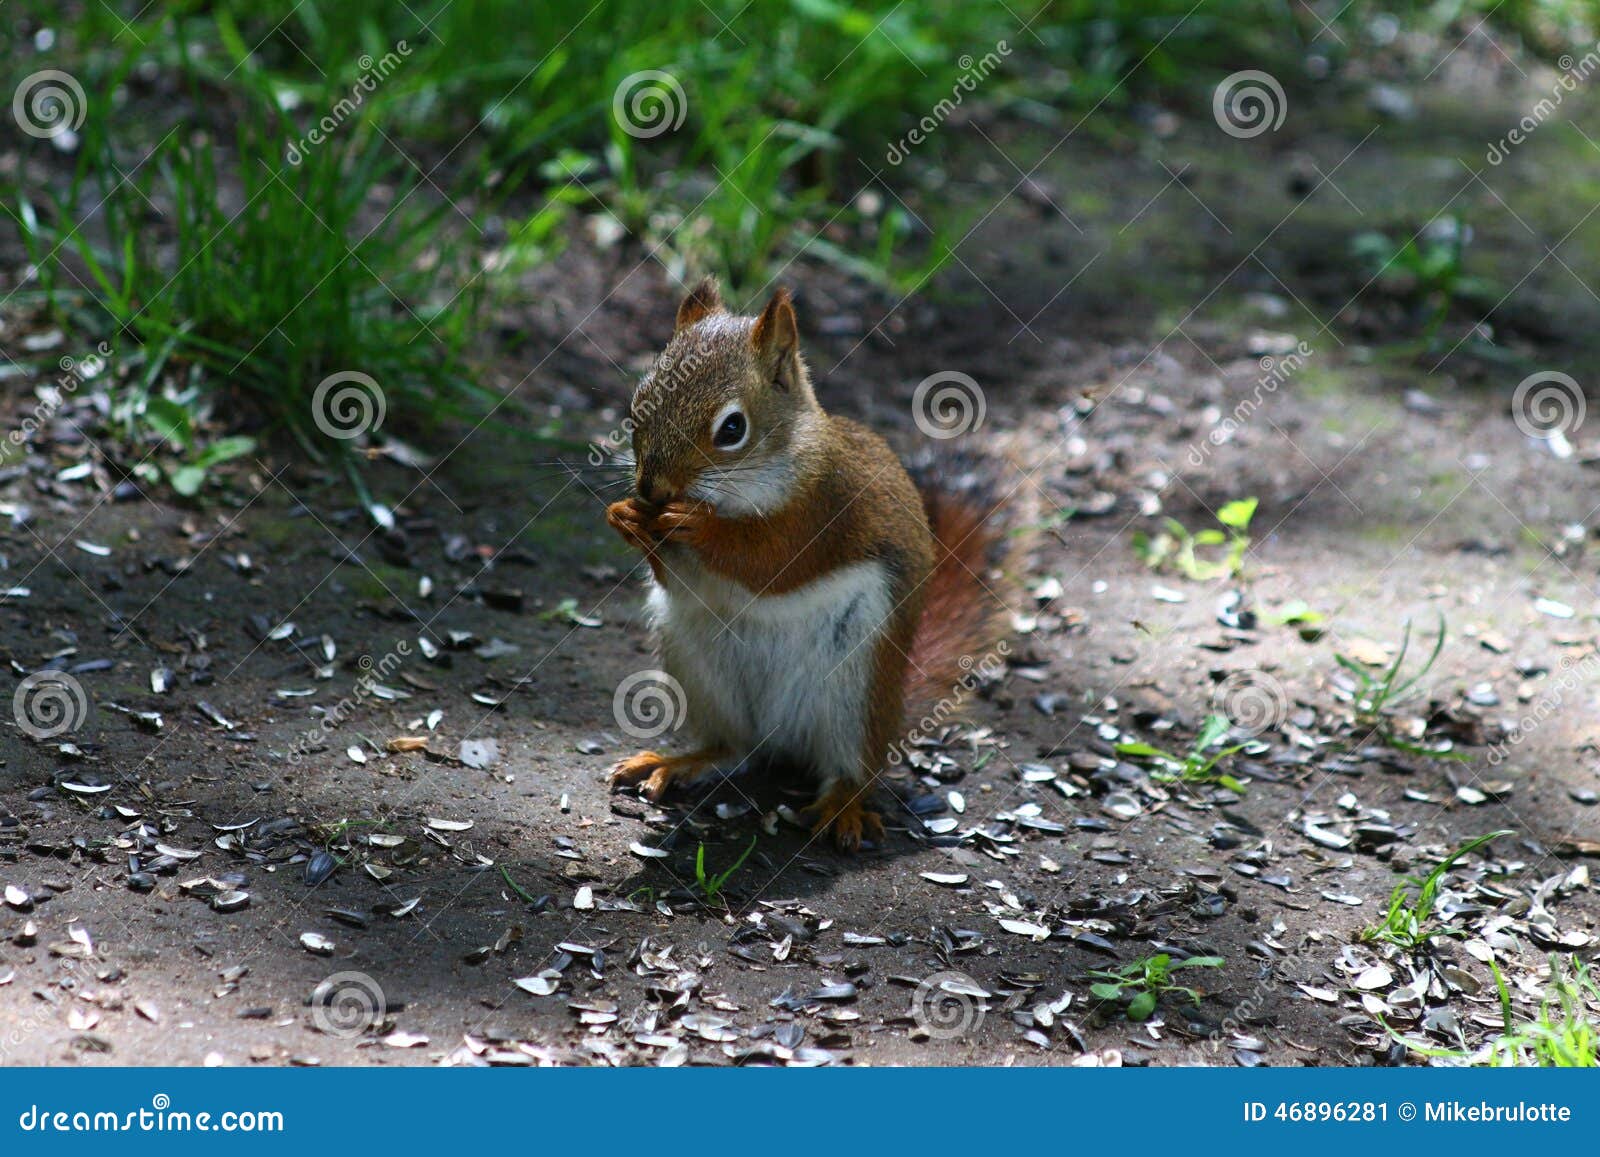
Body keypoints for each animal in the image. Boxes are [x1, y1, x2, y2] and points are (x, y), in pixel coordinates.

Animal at [604, 277, 1006, 850]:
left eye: (732, 429)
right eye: (638, 404)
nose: (652, 490)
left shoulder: (825, 509)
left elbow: (772, 559)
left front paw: (698, 524)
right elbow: (678, 576)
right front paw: (625, 517)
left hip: (858, 687)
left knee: (854, 768)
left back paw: (843, 807)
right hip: (698, 668)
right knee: (736, 748)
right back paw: (677, 762)